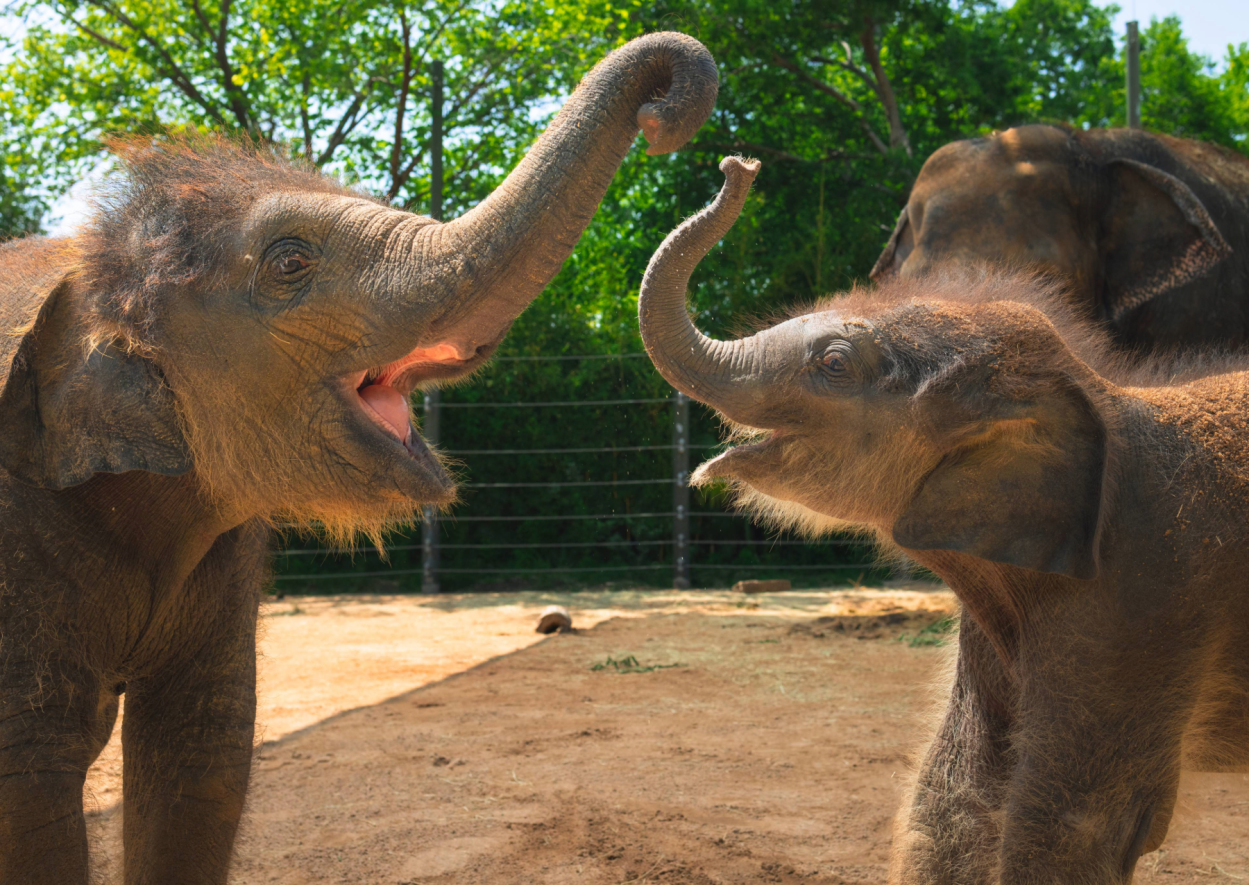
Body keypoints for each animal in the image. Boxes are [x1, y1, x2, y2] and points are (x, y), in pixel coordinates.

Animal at [639, 157, 1249, 882]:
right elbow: (954, 796)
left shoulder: (1149, 602)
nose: (740, 166)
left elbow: (1071, 826)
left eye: (834, 364)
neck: (1100, 393)